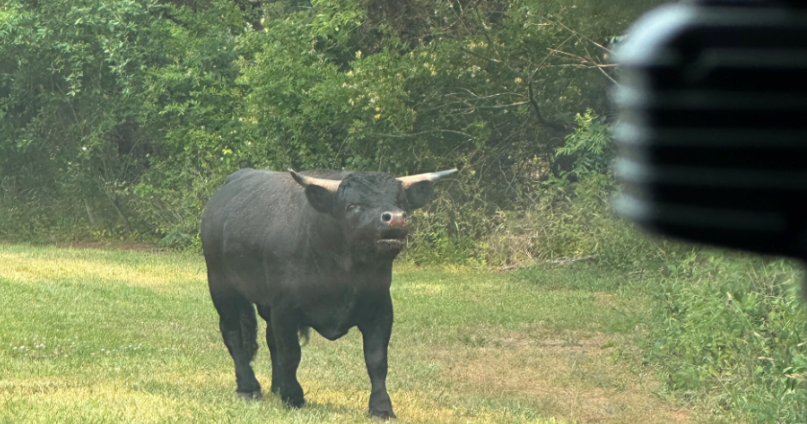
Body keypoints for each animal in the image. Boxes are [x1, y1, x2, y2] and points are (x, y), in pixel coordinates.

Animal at [200, 167, 456, 419]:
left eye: (401, 202)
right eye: (352, 205)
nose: (394, 218)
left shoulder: (381, 308)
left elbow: (376, 359)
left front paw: (381, 407)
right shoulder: (285, 309)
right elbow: (291, 353)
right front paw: (294, 396)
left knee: (270, 339)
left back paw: (276, 387)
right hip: (221, 286)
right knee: (233, 334)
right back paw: (248, 387)